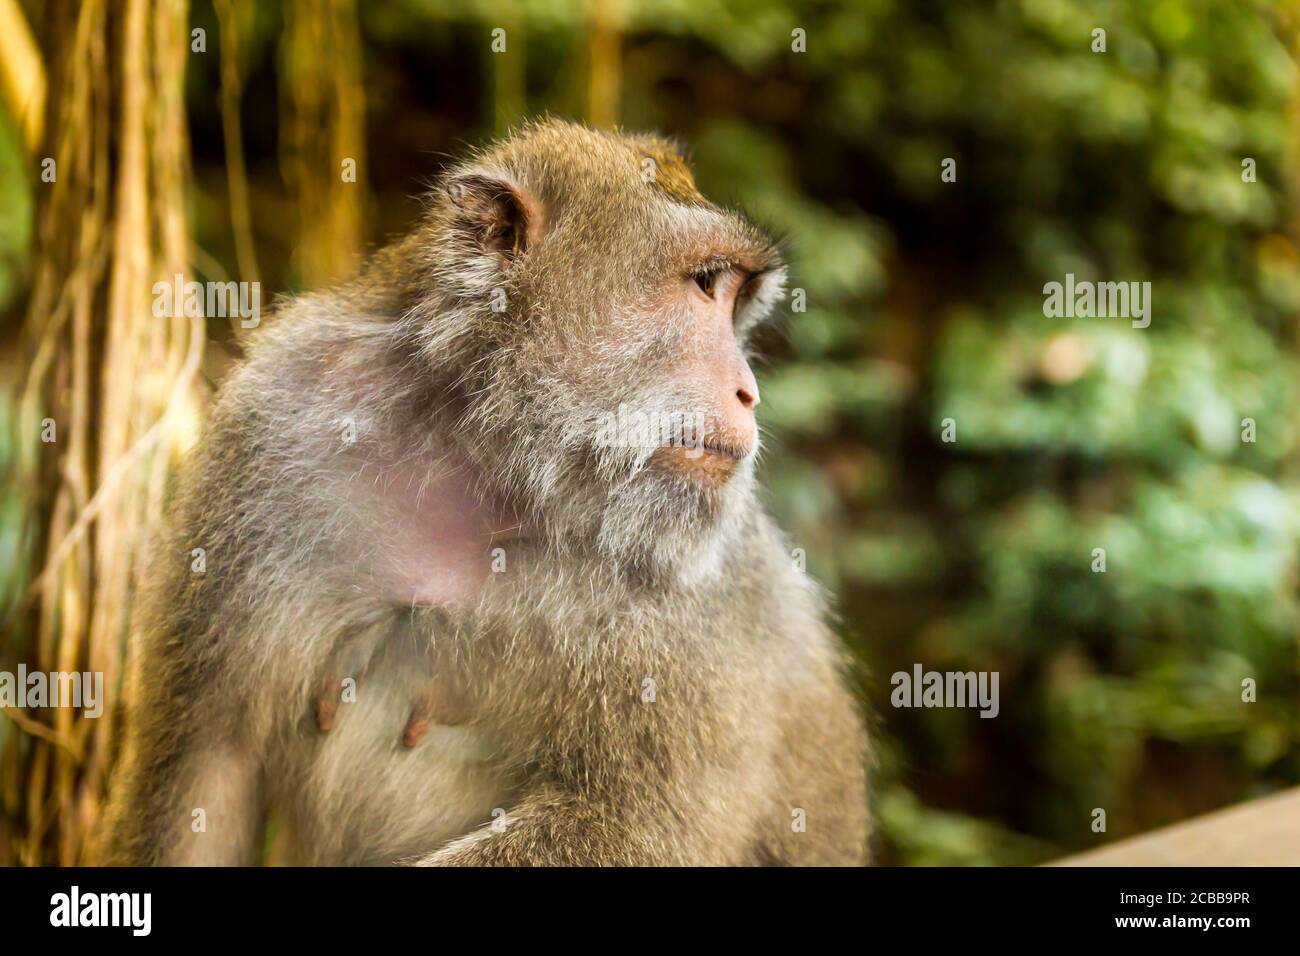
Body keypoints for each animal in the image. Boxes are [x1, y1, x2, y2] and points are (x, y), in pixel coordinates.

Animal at [104, 119, 871, 866]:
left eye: (735, 298)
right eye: (707, 283)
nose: (749, 392)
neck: (489, 461)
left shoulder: (700, 595)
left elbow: (635, 826)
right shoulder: (270, 429)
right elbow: (210, 767)